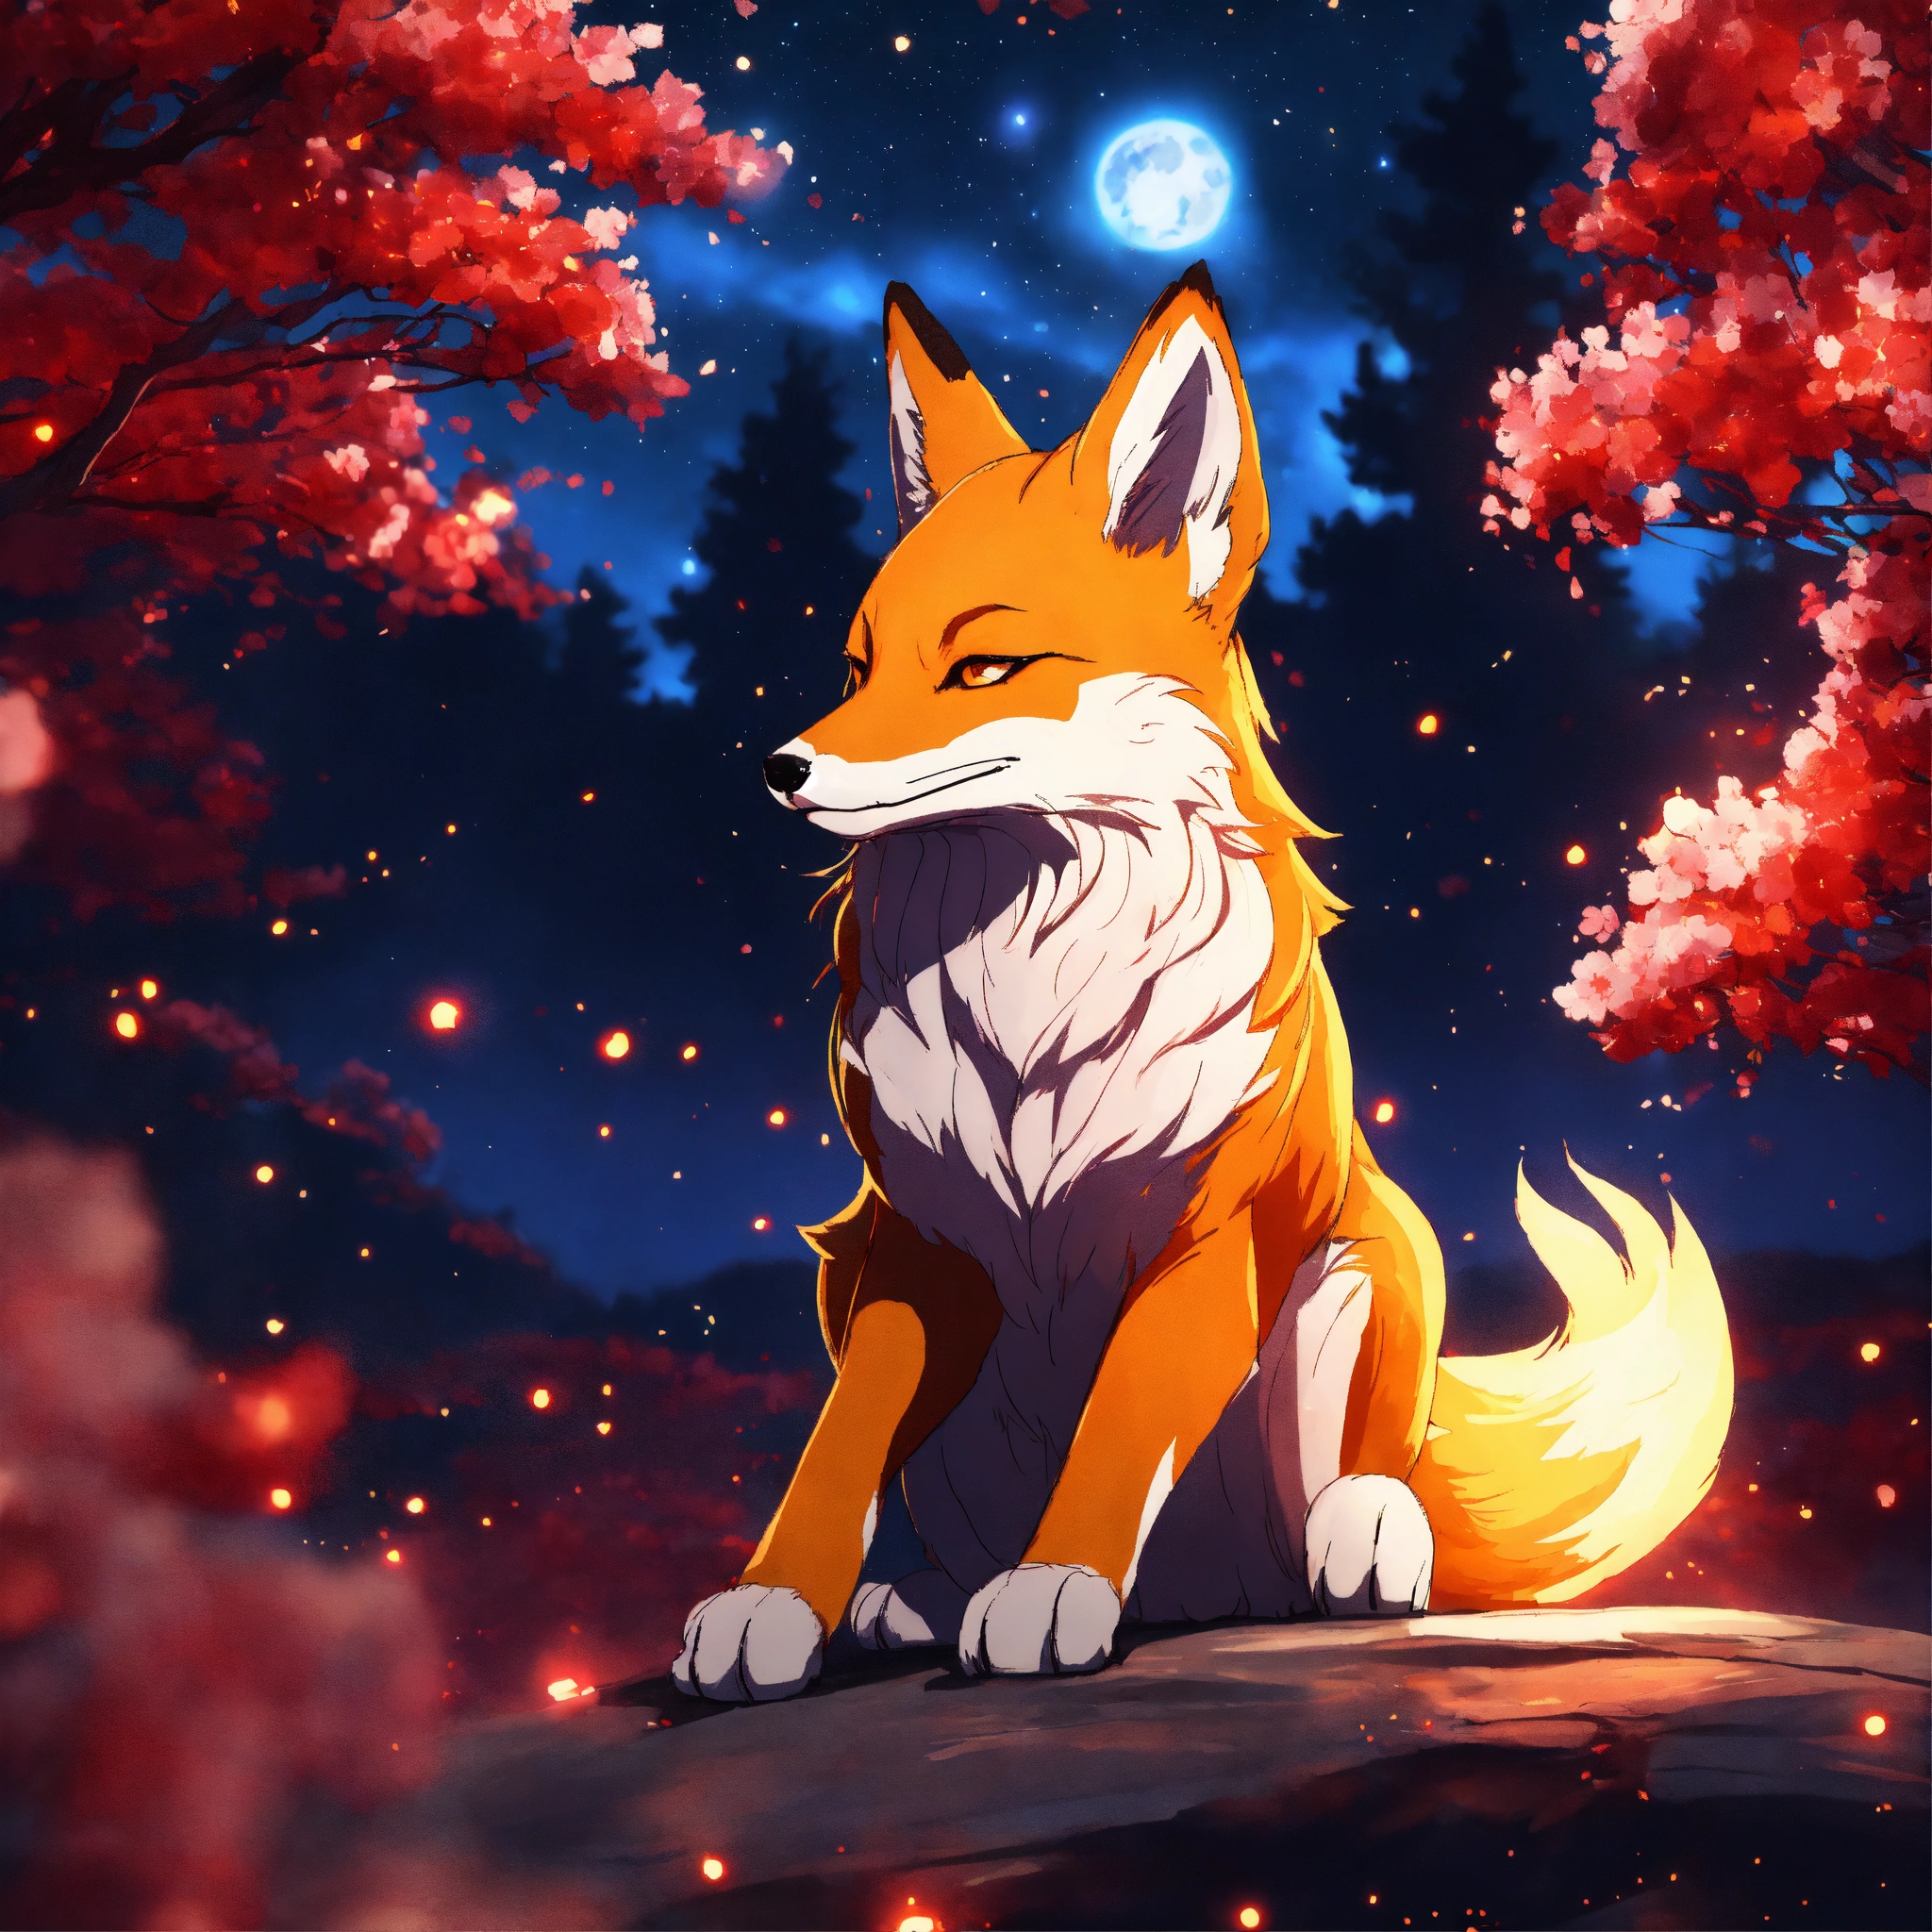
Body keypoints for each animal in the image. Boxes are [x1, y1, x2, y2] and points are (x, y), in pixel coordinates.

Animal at [672, 263, 1734, 1703]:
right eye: (856, 667)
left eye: (982, 668)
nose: (778, 768)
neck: (1033, 1005)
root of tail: (1193, 1596)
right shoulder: (912, 1248)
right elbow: (836, 1444)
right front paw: (770, 1597)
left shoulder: (1201, 1238)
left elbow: (1119, 1430)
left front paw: (1055, 1583)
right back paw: (916, 1601)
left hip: (1366, 1259)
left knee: (1364, 1490)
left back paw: (1357, 1545)